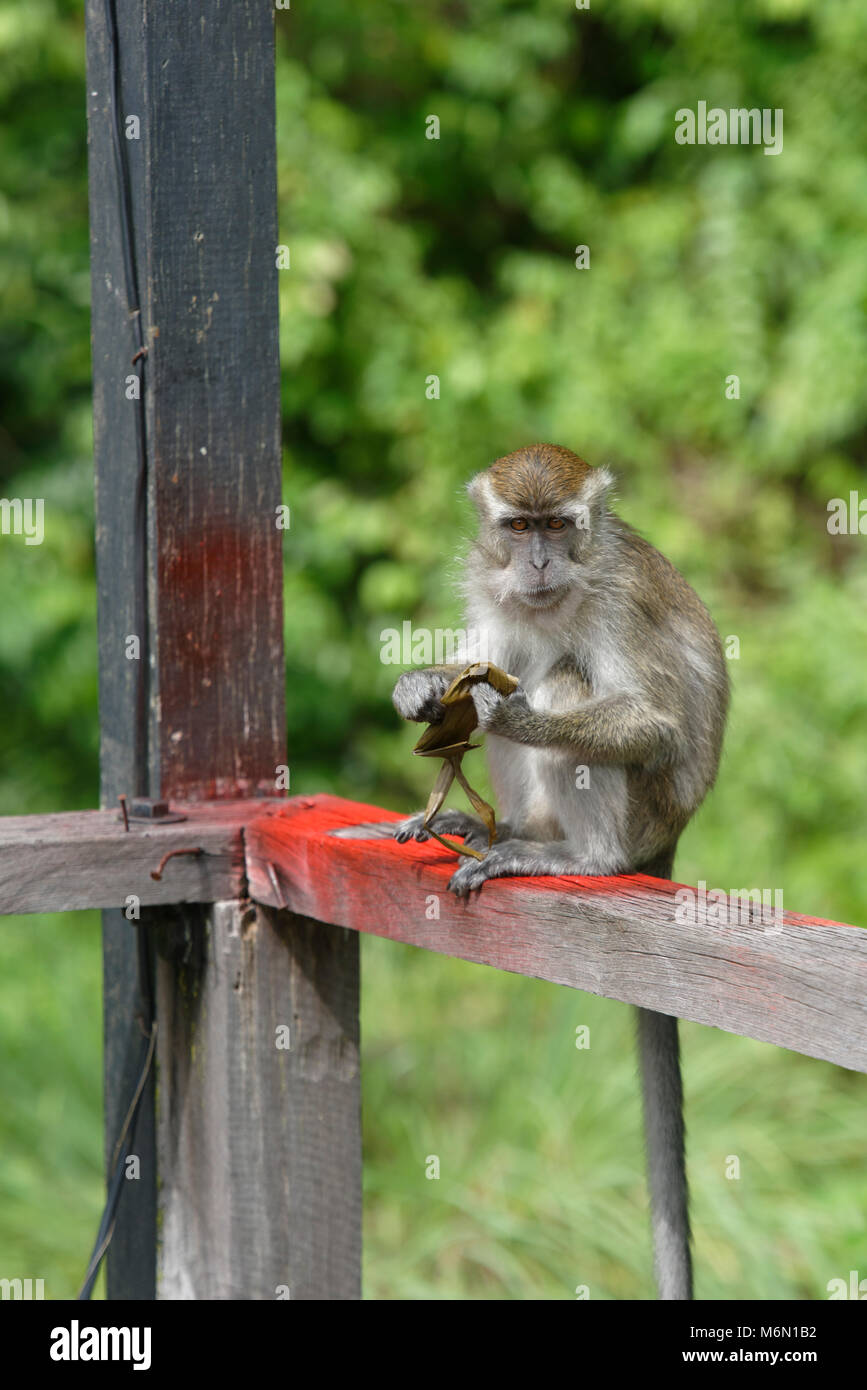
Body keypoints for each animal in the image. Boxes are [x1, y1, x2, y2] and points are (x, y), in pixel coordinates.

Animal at [389, 443, 729, 1300]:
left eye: (556, 526)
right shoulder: (491, 583)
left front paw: (518, 717)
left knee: (566, 677)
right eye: (518, 528)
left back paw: (579, 855)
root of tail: (672, 832)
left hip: (646, 812)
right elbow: (482, 660)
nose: (538, 562)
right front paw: (421, 685)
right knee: (513, 657)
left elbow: (650, 723)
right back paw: (507, 828)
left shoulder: (618, 604)